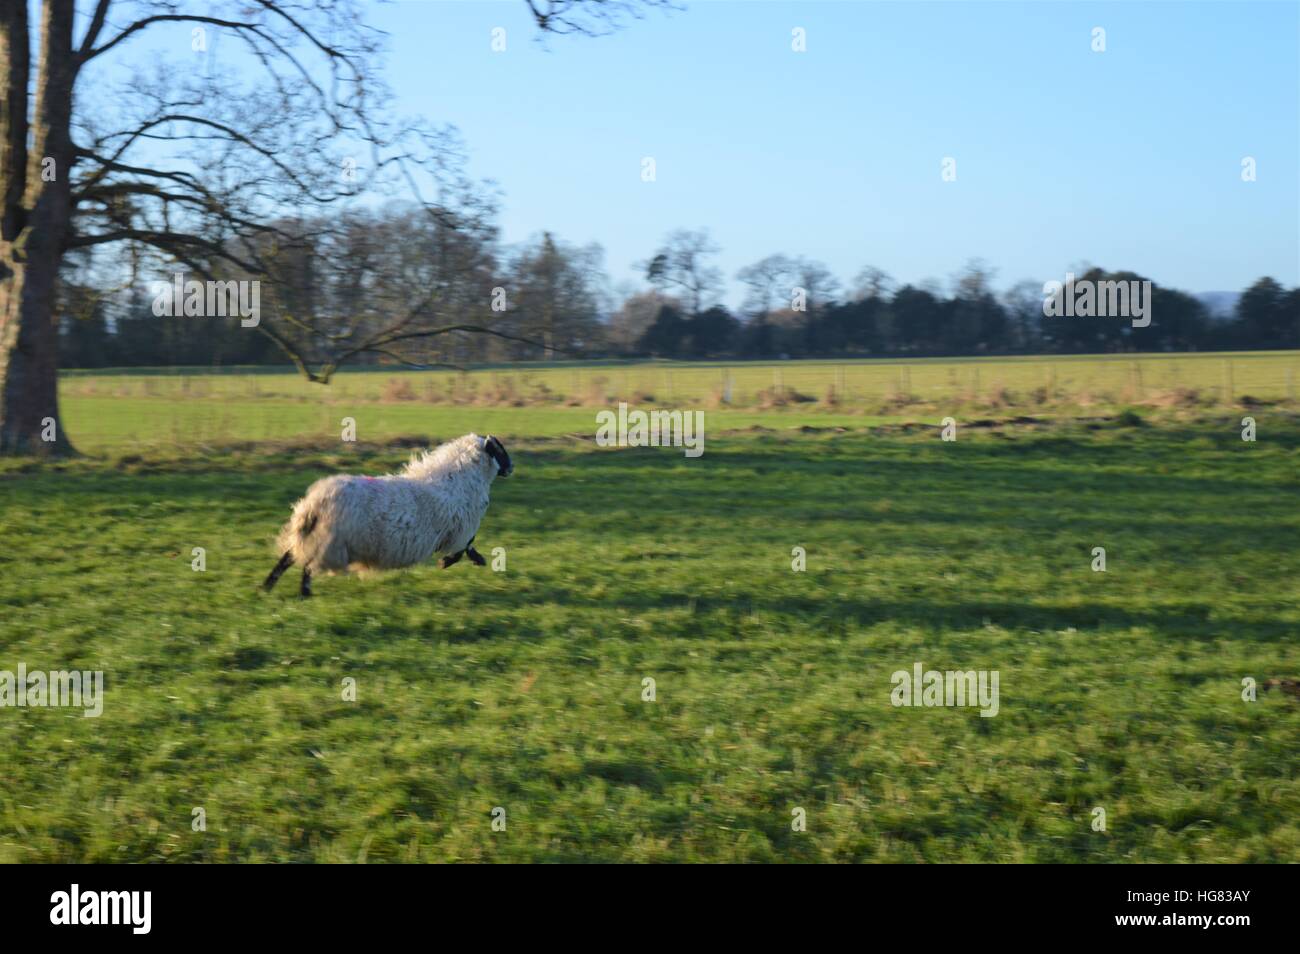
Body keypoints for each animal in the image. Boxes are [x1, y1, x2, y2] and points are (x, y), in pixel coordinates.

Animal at [262, 434, 513, 598]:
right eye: (499, 449)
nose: (512, 468)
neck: (458, 479)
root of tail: (314, 504)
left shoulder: (458, 531)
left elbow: (469, 546)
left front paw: (475, 559)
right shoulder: (459, 530)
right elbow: (463, 548)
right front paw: (447, 562)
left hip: (317, 539)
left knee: (290, 556)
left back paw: (267, 587)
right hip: (329, 542)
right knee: (304, 564)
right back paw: (302, 593)